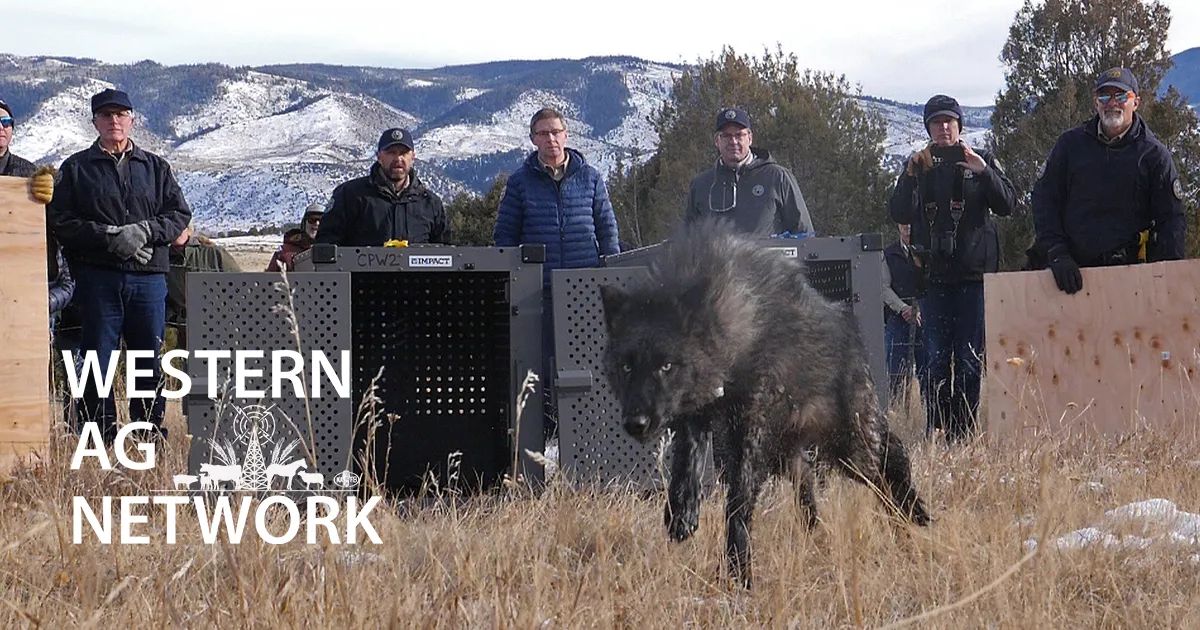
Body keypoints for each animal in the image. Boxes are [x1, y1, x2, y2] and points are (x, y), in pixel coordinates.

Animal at [600, 219, 930, 587]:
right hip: (795, 456)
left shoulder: (750, 431)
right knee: (810, 490)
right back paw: (819, 538)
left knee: (890, 466)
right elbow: (687, 467)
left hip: (850, 448)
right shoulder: (696, 418)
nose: (636, 423)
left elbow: (738, 502)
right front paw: (682, 514)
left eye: (666, 366)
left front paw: (739, 571)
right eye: (627, 366)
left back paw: (912, 516)